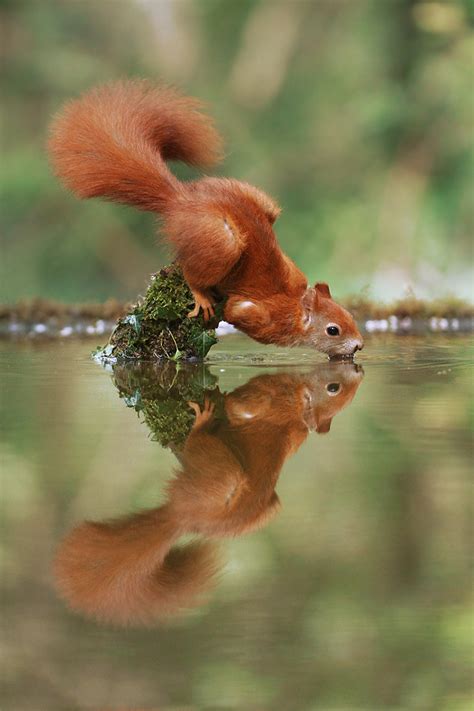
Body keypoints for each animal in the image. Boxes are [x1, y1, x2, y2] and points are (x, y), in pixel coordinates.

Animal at [48, 80, 363, 358]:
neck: (293, 305)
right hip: (222, 241)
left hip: (264, 205)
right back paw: (201, 295)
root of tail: (181, 200)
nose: (360, 346)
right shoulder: (253, 312)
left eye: (350, 316)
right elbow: (236, 310)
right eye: (333, 330)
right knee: (193, 271)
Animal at [54, 363, 364, 625]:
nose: (358, 371)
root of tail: (184, 516)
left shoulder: (265, 402)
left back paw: (200, 422)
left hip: (224, 474)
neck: (296, 410)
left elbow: (238, 407)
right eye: (334, 388)